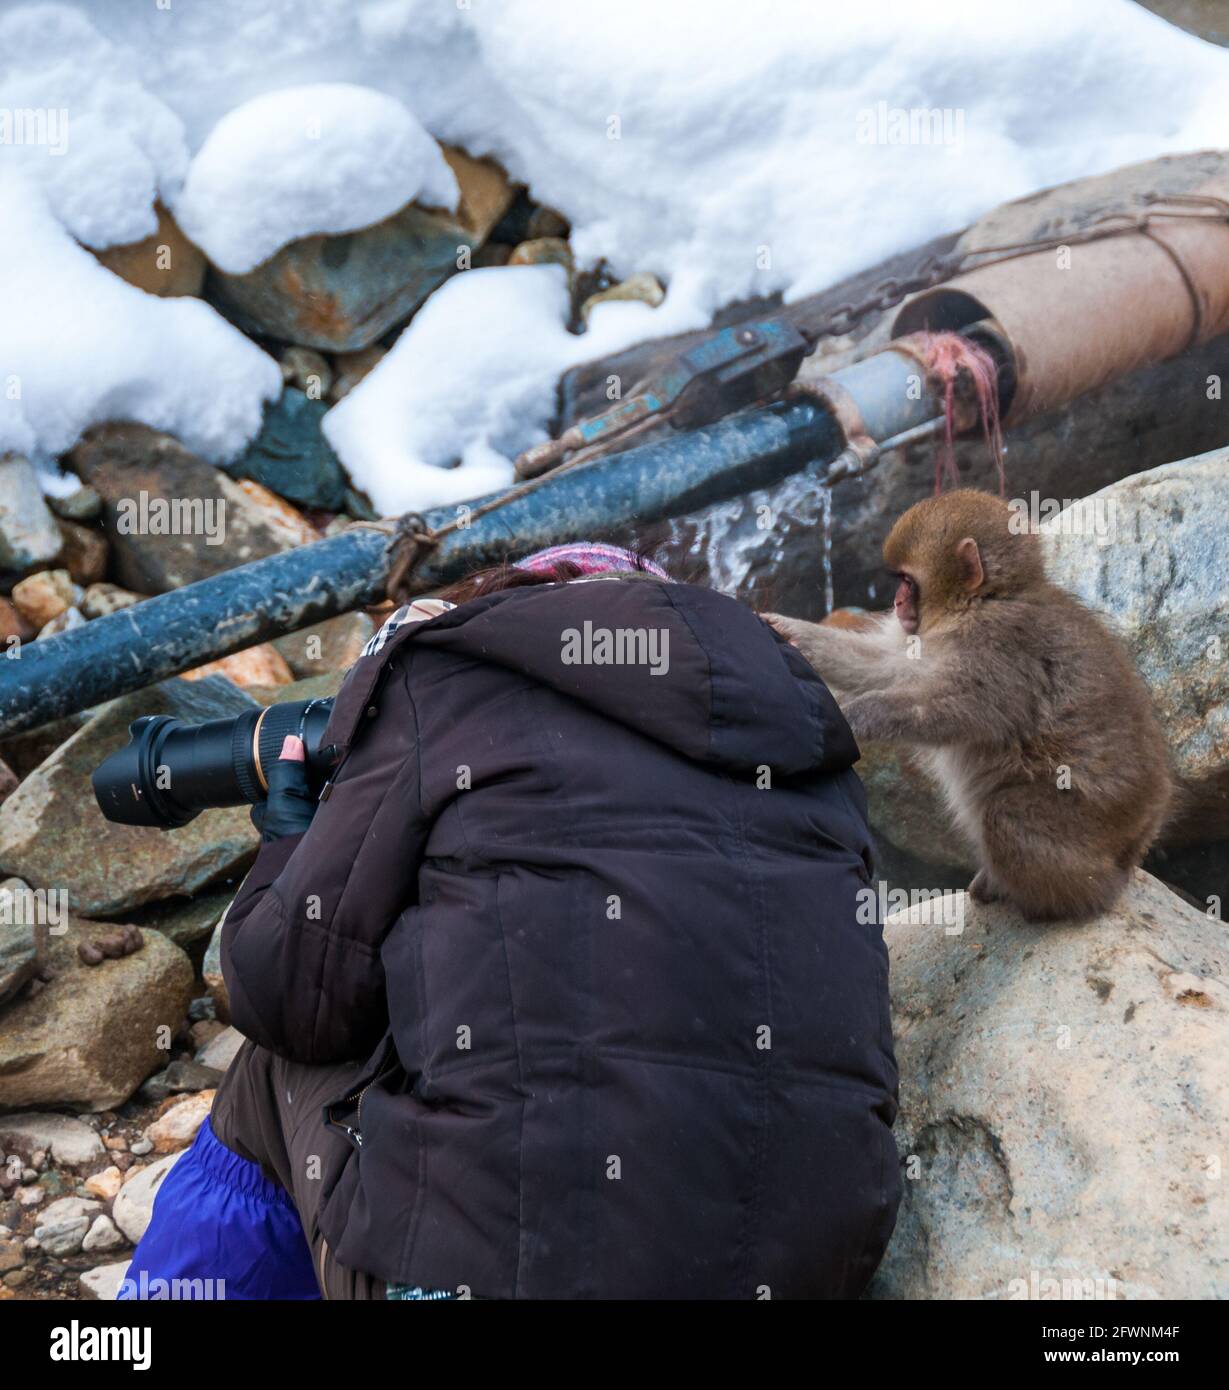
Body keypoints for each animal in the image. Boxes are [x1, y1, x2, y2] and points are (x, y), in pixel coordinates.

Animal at [764, 489, 1174, 923]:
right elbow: (884, 666)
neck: (980, 602)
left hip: (1092, 826)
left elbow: (973, 712)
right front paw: (787, 629)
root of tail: (1147, 822)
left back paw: (1063, 900)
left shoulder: (998, 644)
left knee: (1008, 817)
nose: (897, 602)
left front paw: (858, 716)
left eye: (908, 582)